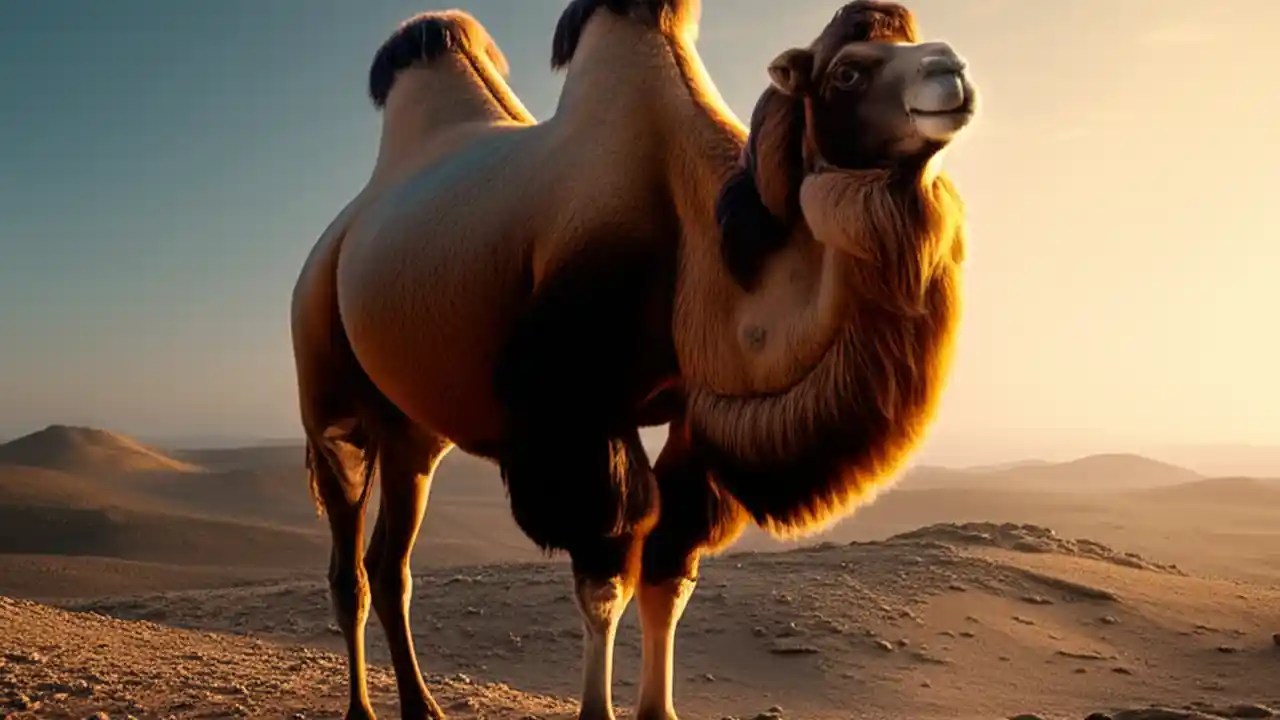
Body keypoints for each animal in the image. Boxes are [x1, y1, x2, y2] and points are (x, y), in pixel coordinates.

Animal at [289, 2, 976, 719]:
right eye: (846, 71)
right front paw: (598, 708)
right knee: (349, 562)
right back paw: (364, 708)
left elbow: (670, 572)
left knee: (389, 562)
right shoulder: (576, 409)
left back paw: (421, 704)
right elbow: (605, 578)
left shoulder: (695, 415)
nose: (951, 70)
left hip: (412, 433)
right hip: (328, 398)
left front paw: (659, 708)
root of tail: (337, 238)